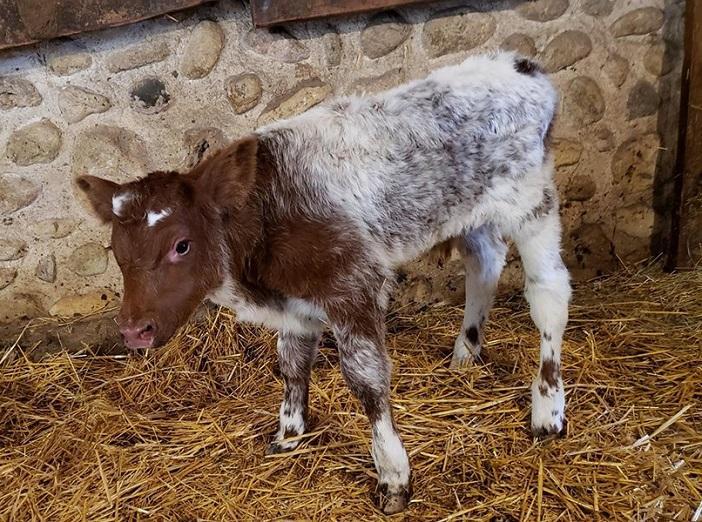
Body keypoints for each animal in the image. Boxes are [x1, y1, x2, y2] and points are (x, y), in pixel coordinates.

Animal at [77, 51, 571, 514]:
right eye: (116, 249)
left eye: (181, 245)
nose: (133, 330)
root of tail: (520, 66)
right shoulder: (295, 304)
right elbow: (292, 363)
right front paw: (290, 432)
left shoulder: (353, 285)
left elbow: (367, 381)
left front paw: (393, 476)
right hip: (469, 211)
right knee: (484, 261)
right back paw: (466, 353)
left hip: (533, 203)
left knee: (549, 292)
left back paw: (547, 410)